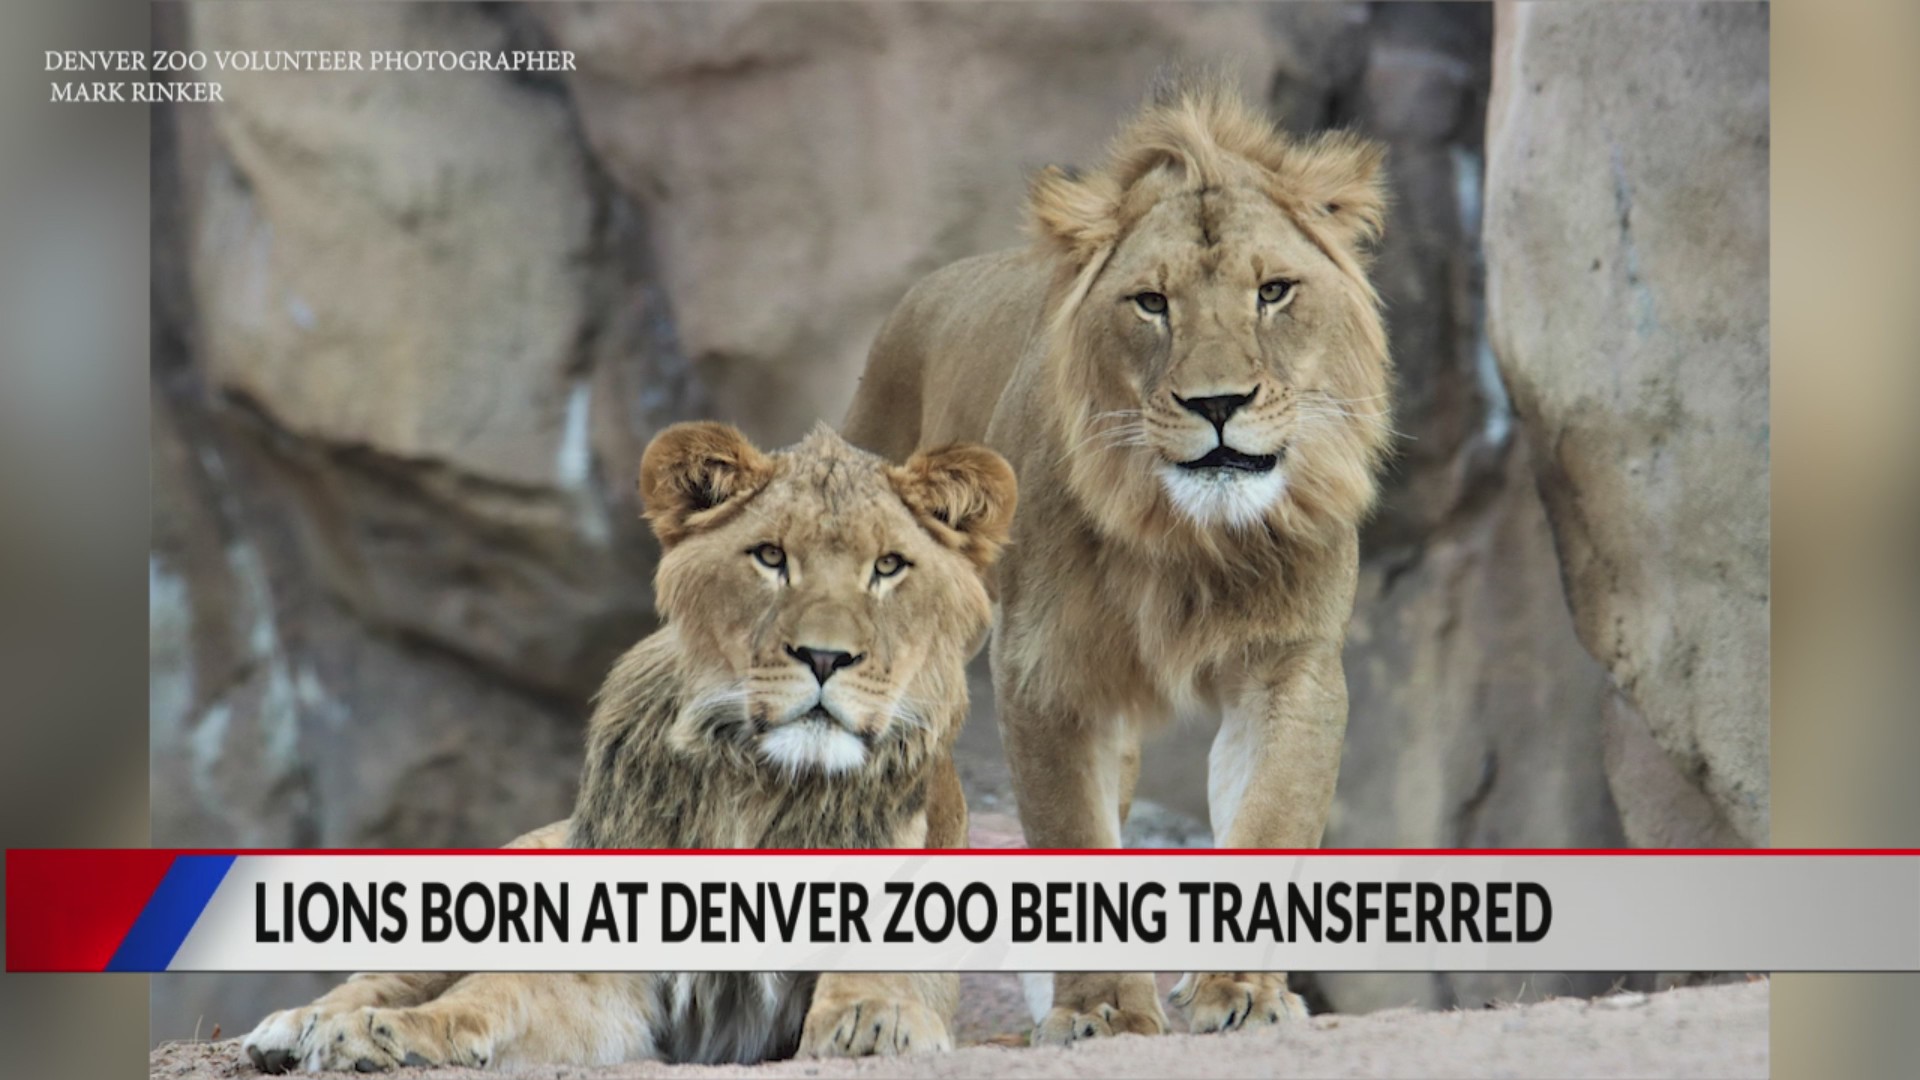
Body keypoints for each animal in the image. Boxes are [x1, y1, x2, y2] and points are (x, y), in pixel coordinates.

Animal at [241, 422, 1016, 1072]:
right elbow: (496, 994)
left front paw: (873, 1015)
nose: (825, 657)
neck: (763, 784)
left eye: (888, 566)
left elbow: (884, 978)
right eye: (770, 557)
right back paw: (297, 1026)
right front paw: (388, 1035)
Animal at [843, 78, 1393, 1044]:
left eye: (1274, 292)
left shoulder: (1290, 664)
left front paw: (1240, 993)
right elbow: (1067, 833)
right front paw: (1102, 1008)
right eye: (1151, 303)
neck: (1193, 538)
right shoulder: (1046, 674)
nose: (1218, 403)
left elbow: (1271, 816)